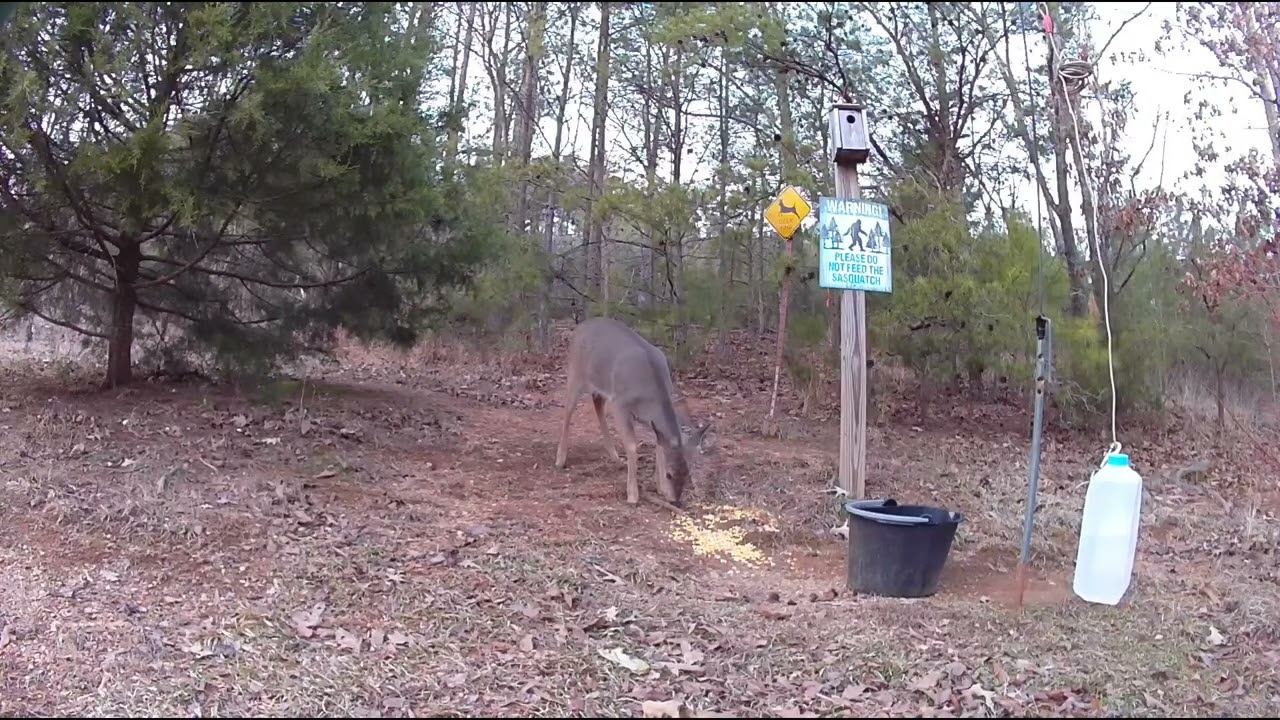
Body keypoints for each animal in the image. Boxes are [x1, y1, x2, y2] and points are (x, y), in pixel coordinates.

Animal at [554, 317, 711, 509]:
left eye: (688, 474)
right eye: (669, 474)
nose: (676, 500)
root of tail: (581, 325)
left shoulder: (651, 421)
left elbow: (659, 445)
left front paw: (660, 489)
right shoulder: (620, 404)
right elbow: (632, 446)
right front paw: (633, 495)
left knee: (597, 403)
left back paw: (615, 457)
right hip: (575, 371)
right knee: (568, 410)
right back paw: (560, 460)